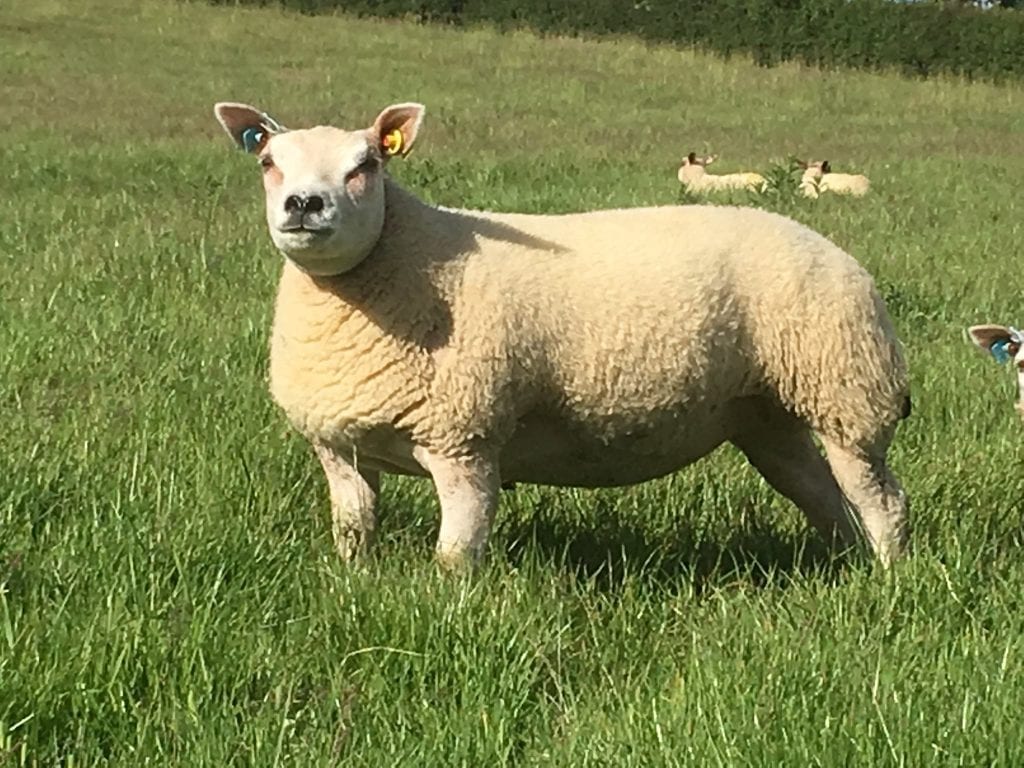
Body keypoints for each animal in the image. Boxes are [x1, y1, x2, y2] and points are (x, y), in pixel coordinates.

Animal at [213, 99, 912, 569]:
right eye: (268, 162)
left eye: (367, 164)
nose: (305, 205)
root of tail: (838, 252)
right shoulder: (340, 450)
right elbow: (353, 535)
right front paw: (354, 586)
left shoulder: (465, 437)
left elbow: (457, 553)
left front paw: (445, 610)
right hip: (766, 414)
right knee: (824, 497)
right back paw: (846, 569)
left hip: (848, 392)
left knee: (882, 500)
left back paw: (886, 579)